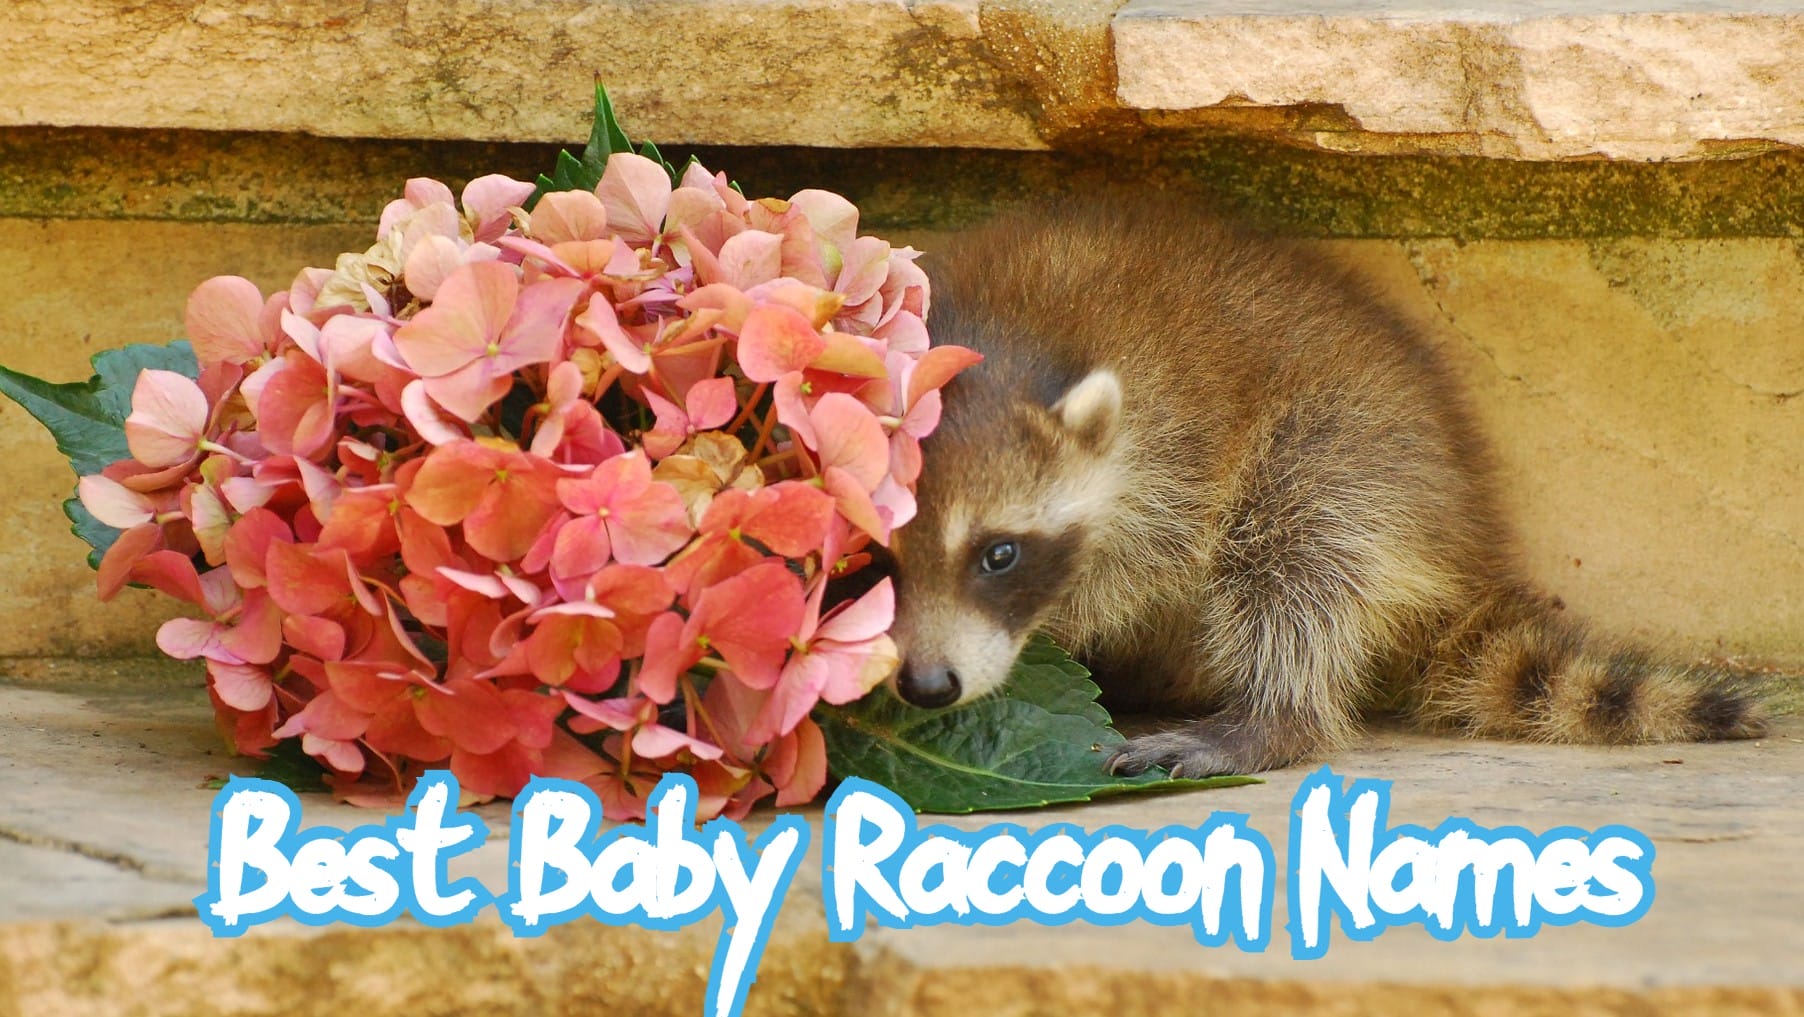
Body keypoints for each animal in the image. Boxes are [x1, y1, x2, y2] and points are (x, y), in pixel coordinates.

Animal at [886, 193, 1768, 778]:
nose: (928, 685)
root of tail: (1466, 525)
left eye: (1000, 554)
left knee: (1298, 550)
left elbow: (1154, 566)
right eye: (876, 560)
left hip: (1357, 445)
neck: (1000, 341)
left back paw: (1273, 718)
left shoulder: (1175, 444)